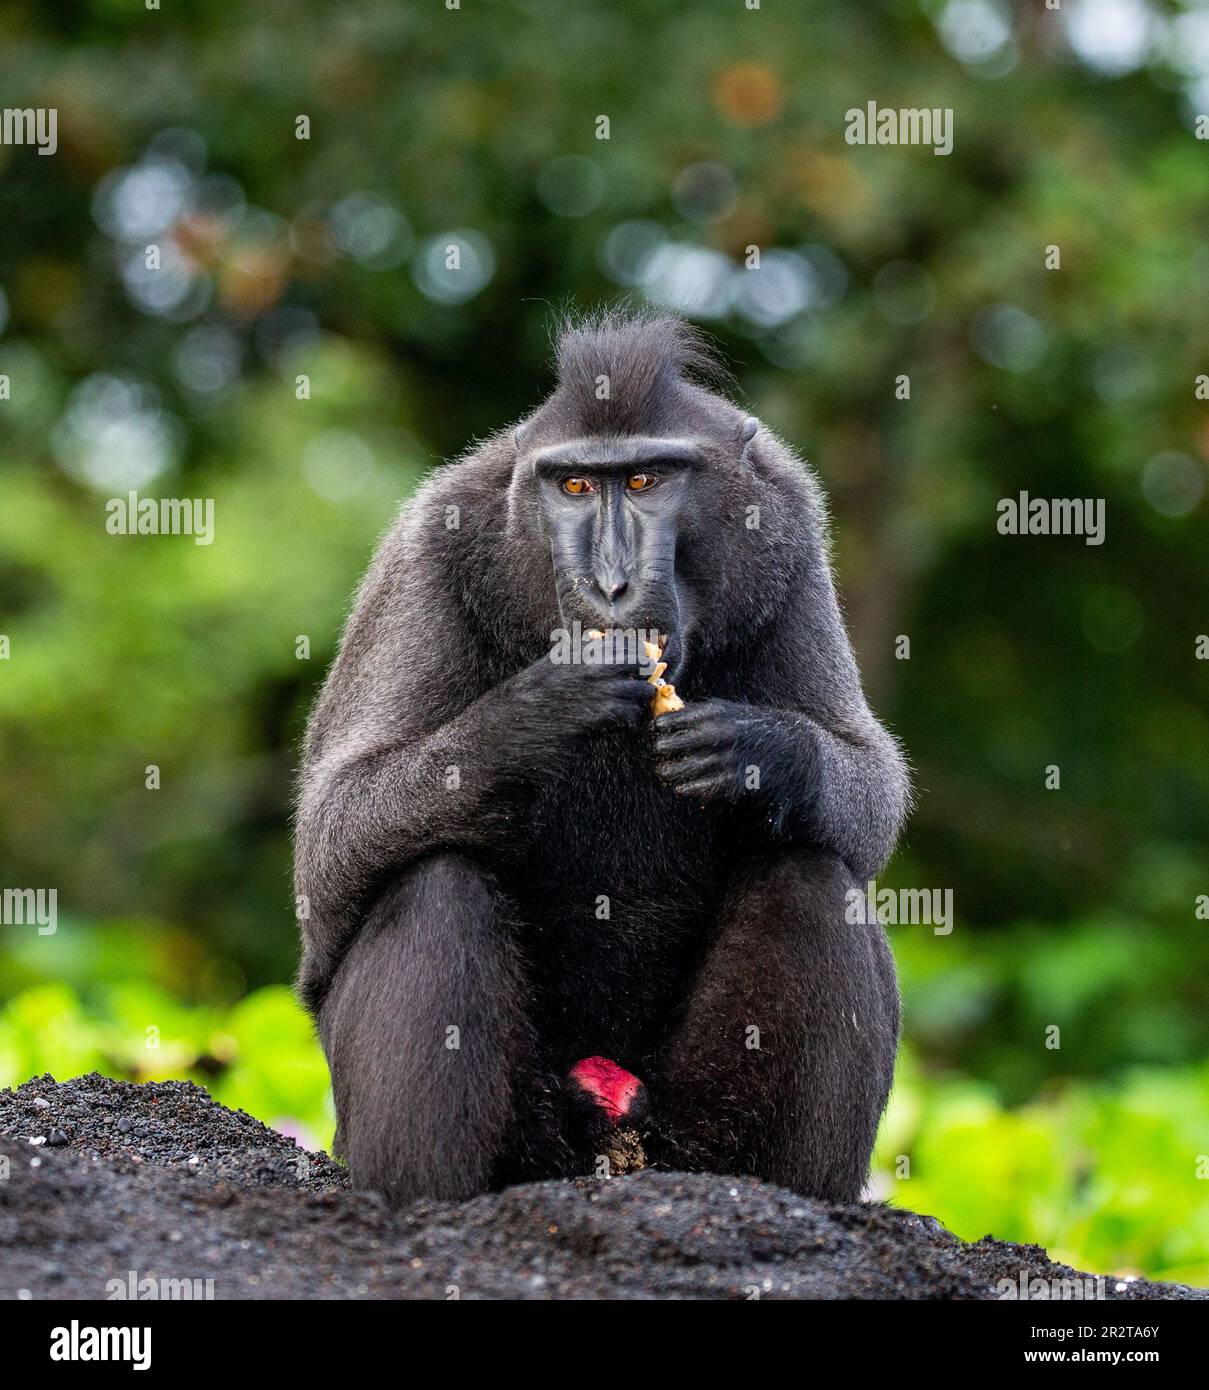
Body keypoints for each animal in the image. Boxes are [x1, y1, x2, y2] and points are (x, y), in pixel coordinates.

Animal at [294, 311, 910, 1207]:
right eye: (577, 487)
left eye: (647, 480)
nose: (614, 585)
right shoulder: (424, 552)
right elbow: (329, 840)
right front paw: (545, 710)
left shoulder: (792, 543)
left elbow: (869, 790)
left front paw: (761, 755)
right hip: (521, 1131)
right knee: (435, 879)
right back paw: (427, 1201)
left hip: (675, 1122)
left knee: (810, 871)